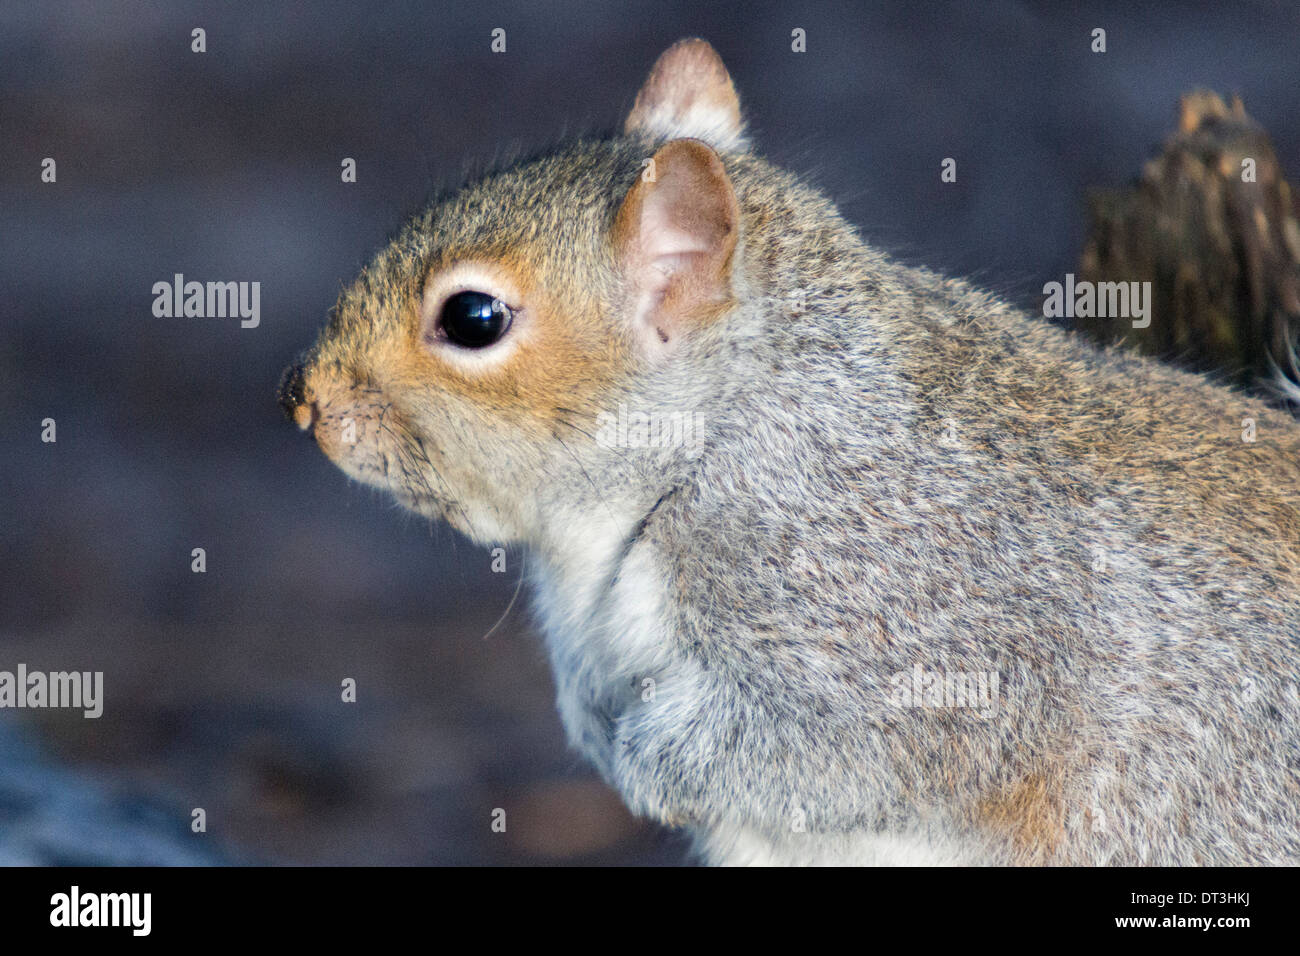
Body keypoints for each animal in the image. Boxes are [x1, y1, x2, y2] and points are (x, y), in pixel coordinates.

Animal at [280, 38, 1300, 865]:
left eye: (473, 318)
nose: (305, 402)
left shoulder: (909, 617)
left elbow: (857, 750)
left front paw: (649, 758)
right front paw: (602, 732)